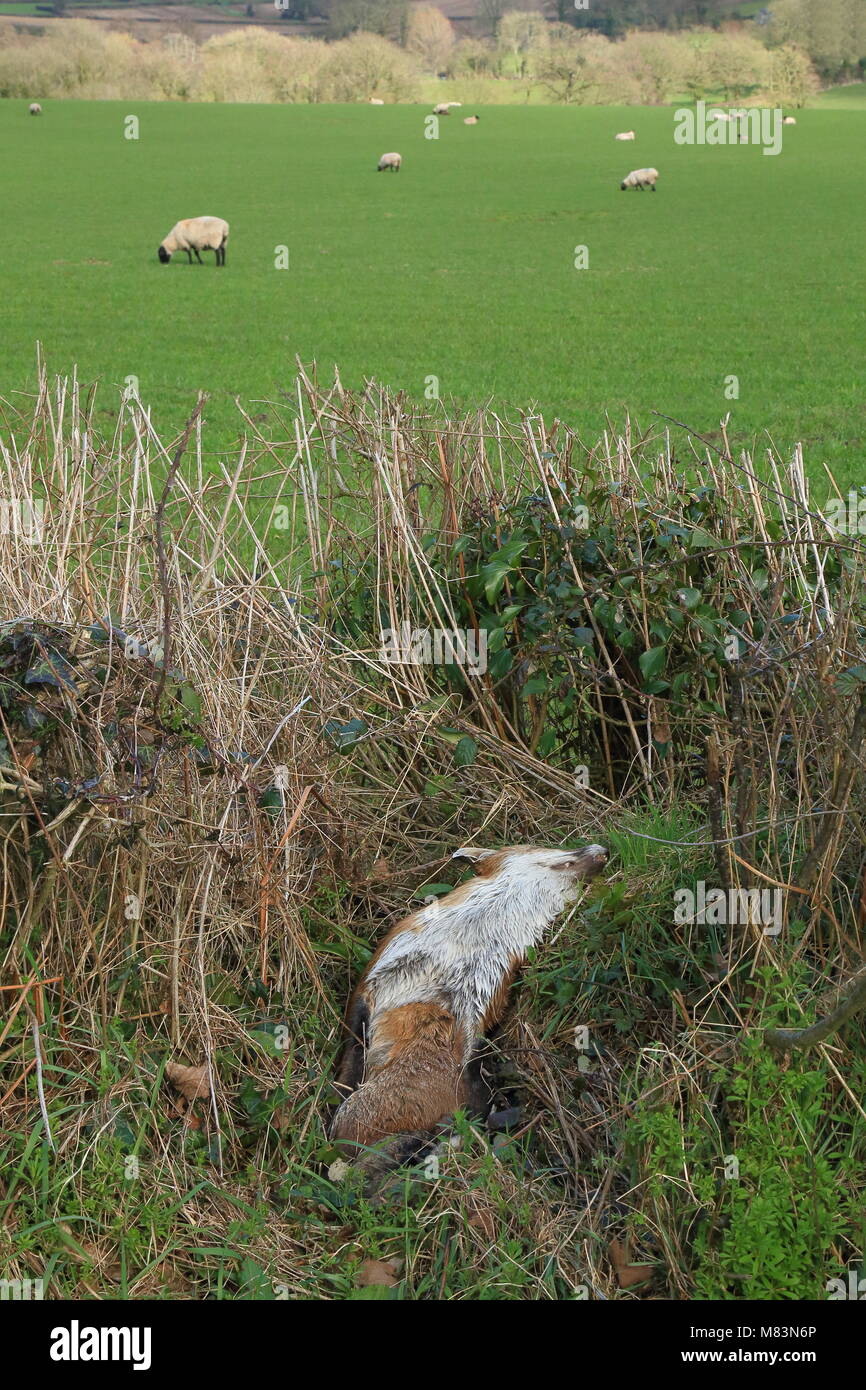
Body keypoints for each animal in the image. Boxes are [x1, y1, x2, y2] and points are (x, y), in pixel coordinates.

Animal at [329, 841, 608, 1178]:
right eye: (538, 846)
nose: (604, 851)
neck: (468, 937)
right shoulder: (375, 980)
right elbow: (352, 1053)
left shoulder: (477, 1008)